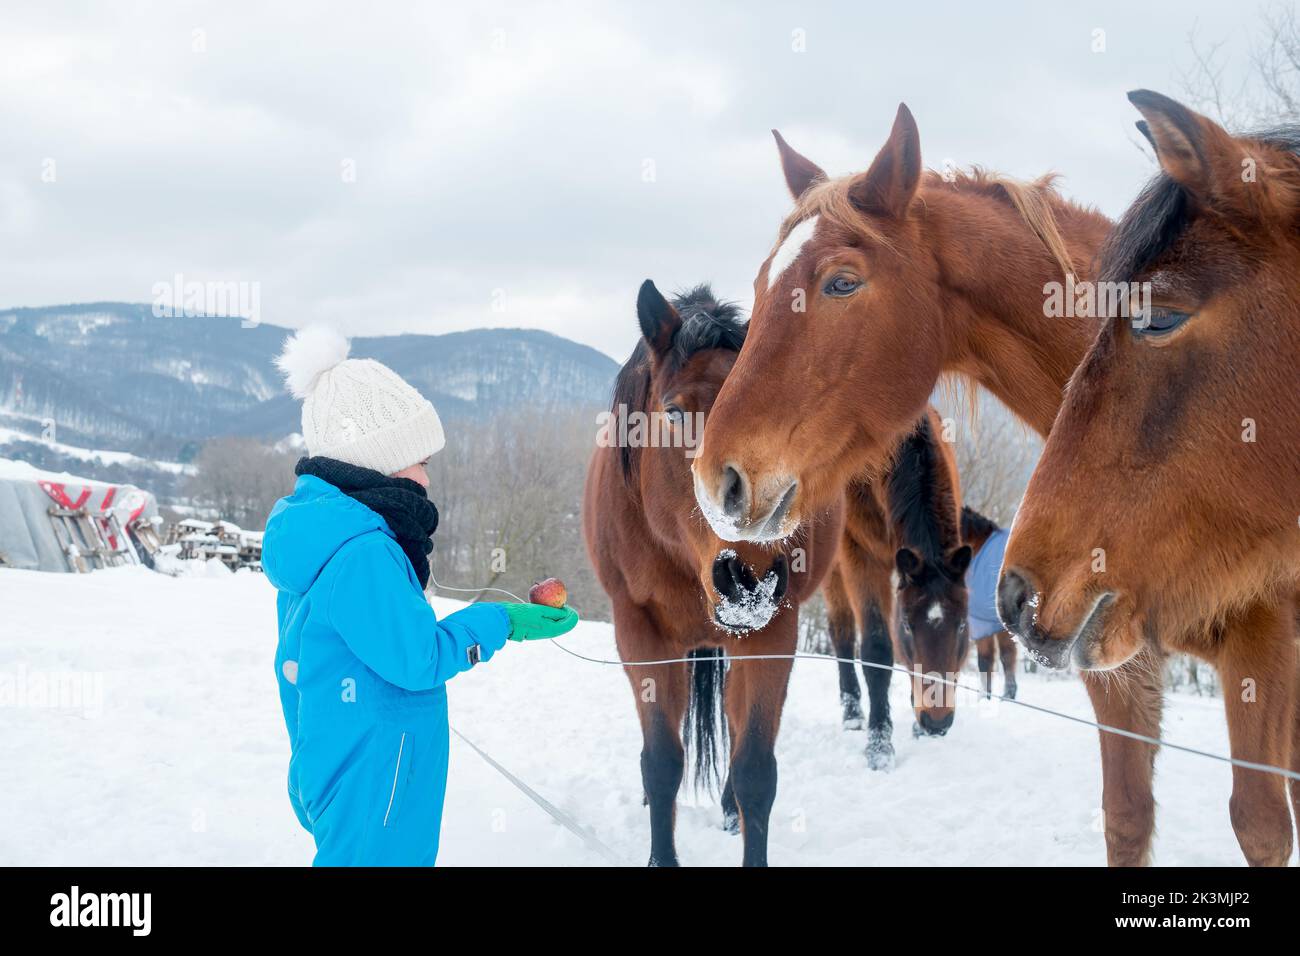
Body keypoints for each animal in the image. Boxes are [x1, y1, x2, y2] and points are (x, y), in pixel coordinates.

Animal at [583, 280, 844, 867]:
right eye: (675, 413)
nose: (752, 578)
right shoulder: (640, 631)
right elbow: (662, 762)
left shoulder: (774, 630)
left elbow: (755, 771)